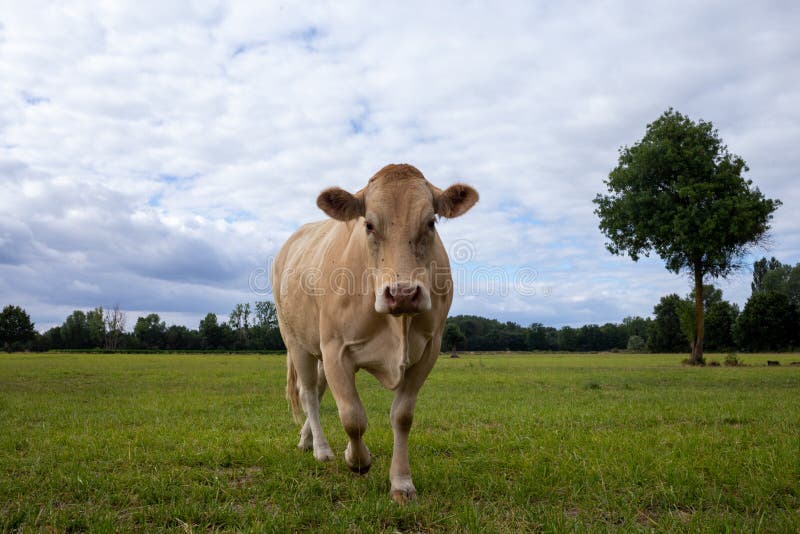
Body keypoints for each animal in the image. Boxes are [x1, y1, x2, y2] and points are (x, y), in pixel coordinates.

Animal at [271, 163, 478, 503]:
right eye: (368, 224)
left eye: (431, 222)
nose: (403, 293)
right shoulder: (336, 349)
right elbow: (352, 417)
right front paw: (356, 459)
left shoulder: (429, 350)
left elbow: (402, 416)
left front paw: (402, 483)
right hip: (296, 341)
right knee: (308, 394)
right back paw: (321, 449)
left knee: (318, 389)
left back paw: (306, 439)